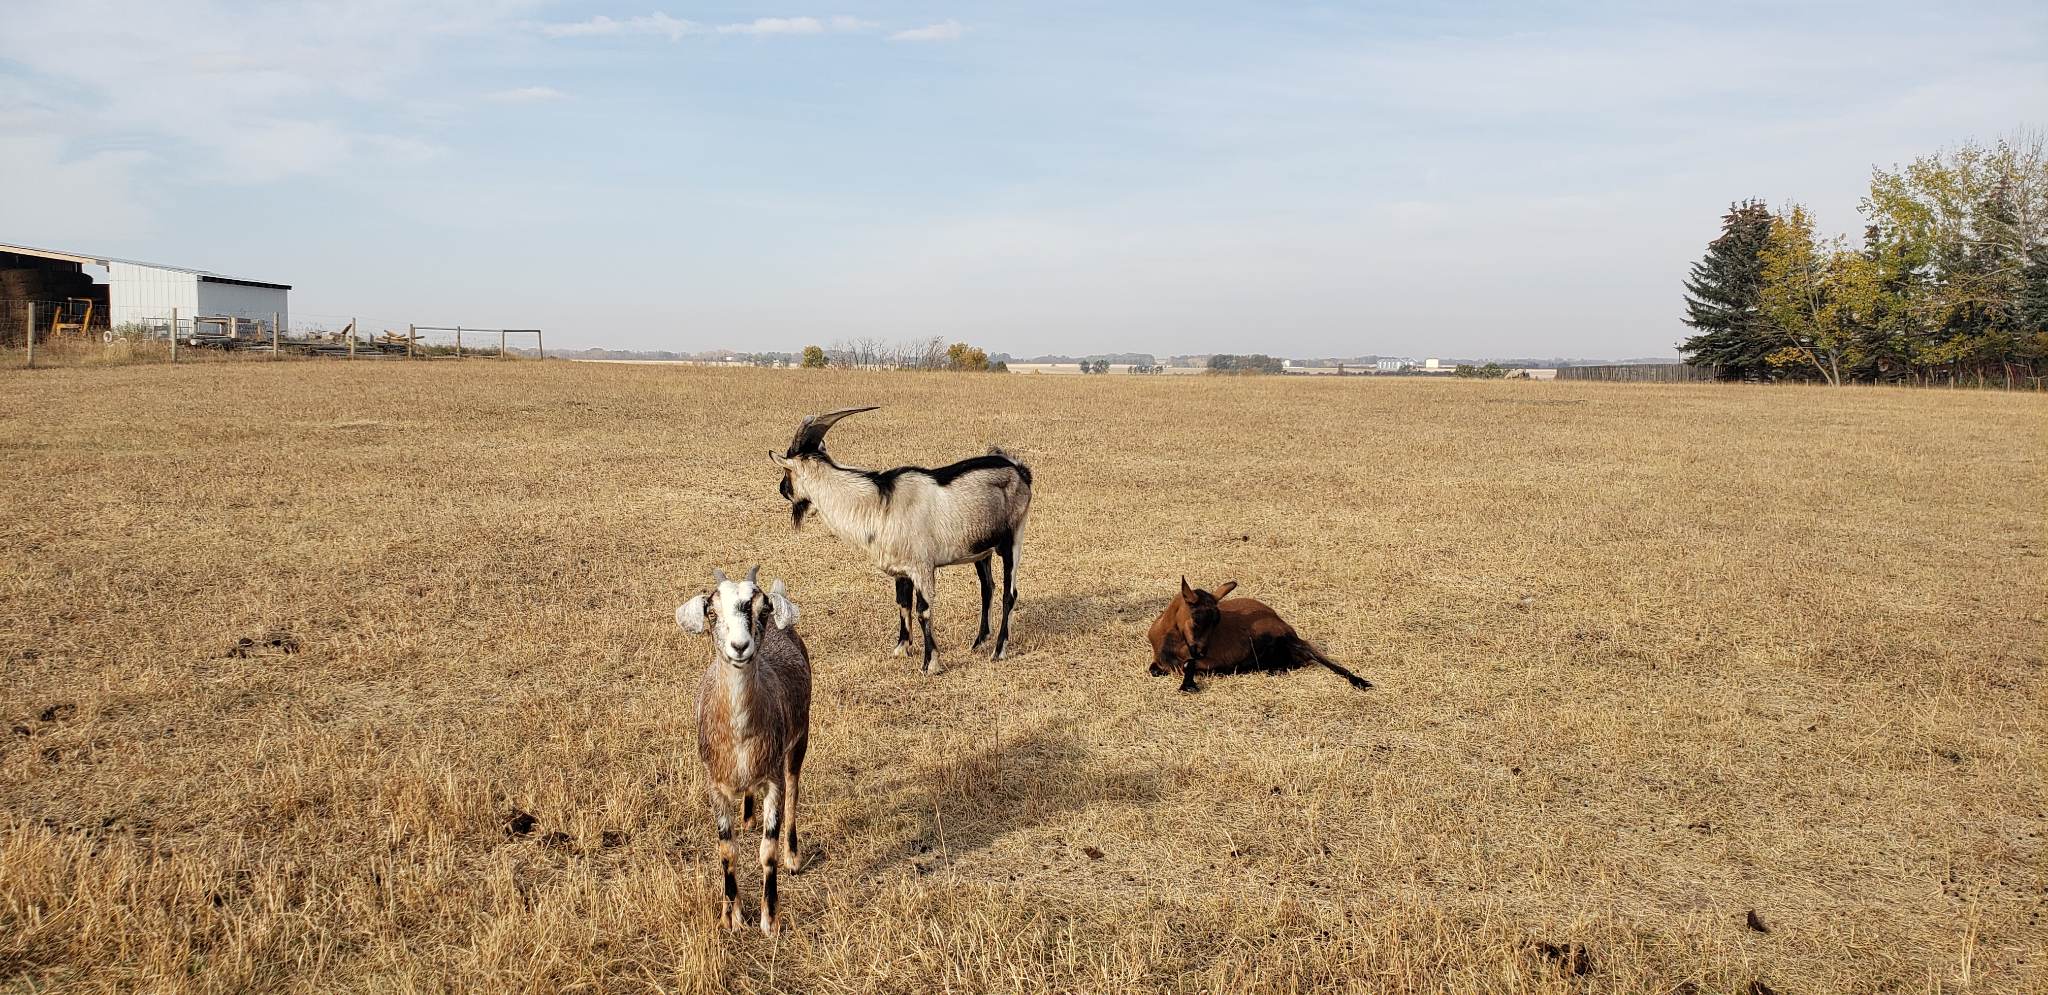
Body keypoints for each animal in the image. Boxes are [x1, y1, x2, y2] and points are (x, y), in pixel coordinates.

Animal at [677, 566, 811, 935]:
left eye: (762, 610)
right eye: (711, 611)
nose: (740, 647)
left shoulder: (774, 779)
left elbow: (768, 850)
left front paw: (770, 919)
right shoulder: (714, 784)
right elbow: (727, 850)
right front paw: (732, 917)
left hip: (800, 739)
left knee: (795, 790)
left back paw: (793, 857)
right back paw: (748, 817)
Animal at [770, 406, 1032, 675]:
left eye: (787, 471)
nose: (781, 489)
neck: (879, 504)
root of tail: (1019, 469)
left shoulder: (922, 567)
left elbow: (923, 611)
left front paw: (930, 664)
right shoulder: (901, 570)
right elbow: (902, 604)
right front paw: (901, 649)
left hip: (1014, 538)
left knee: (1010, 593)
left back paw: (998, 650)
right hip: (982, 550)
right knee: (987, 588)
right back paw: (979, 642)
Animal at [1146, 577, 1373, 693]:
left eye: (1217, 623)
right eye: (1196, 621)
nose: (1201, 652)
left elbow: (1187, 664)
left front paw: (1189, 685)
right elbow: (1156, 668)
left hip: (1282, 637)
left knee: (1312, 654)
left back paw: (1361, 682)